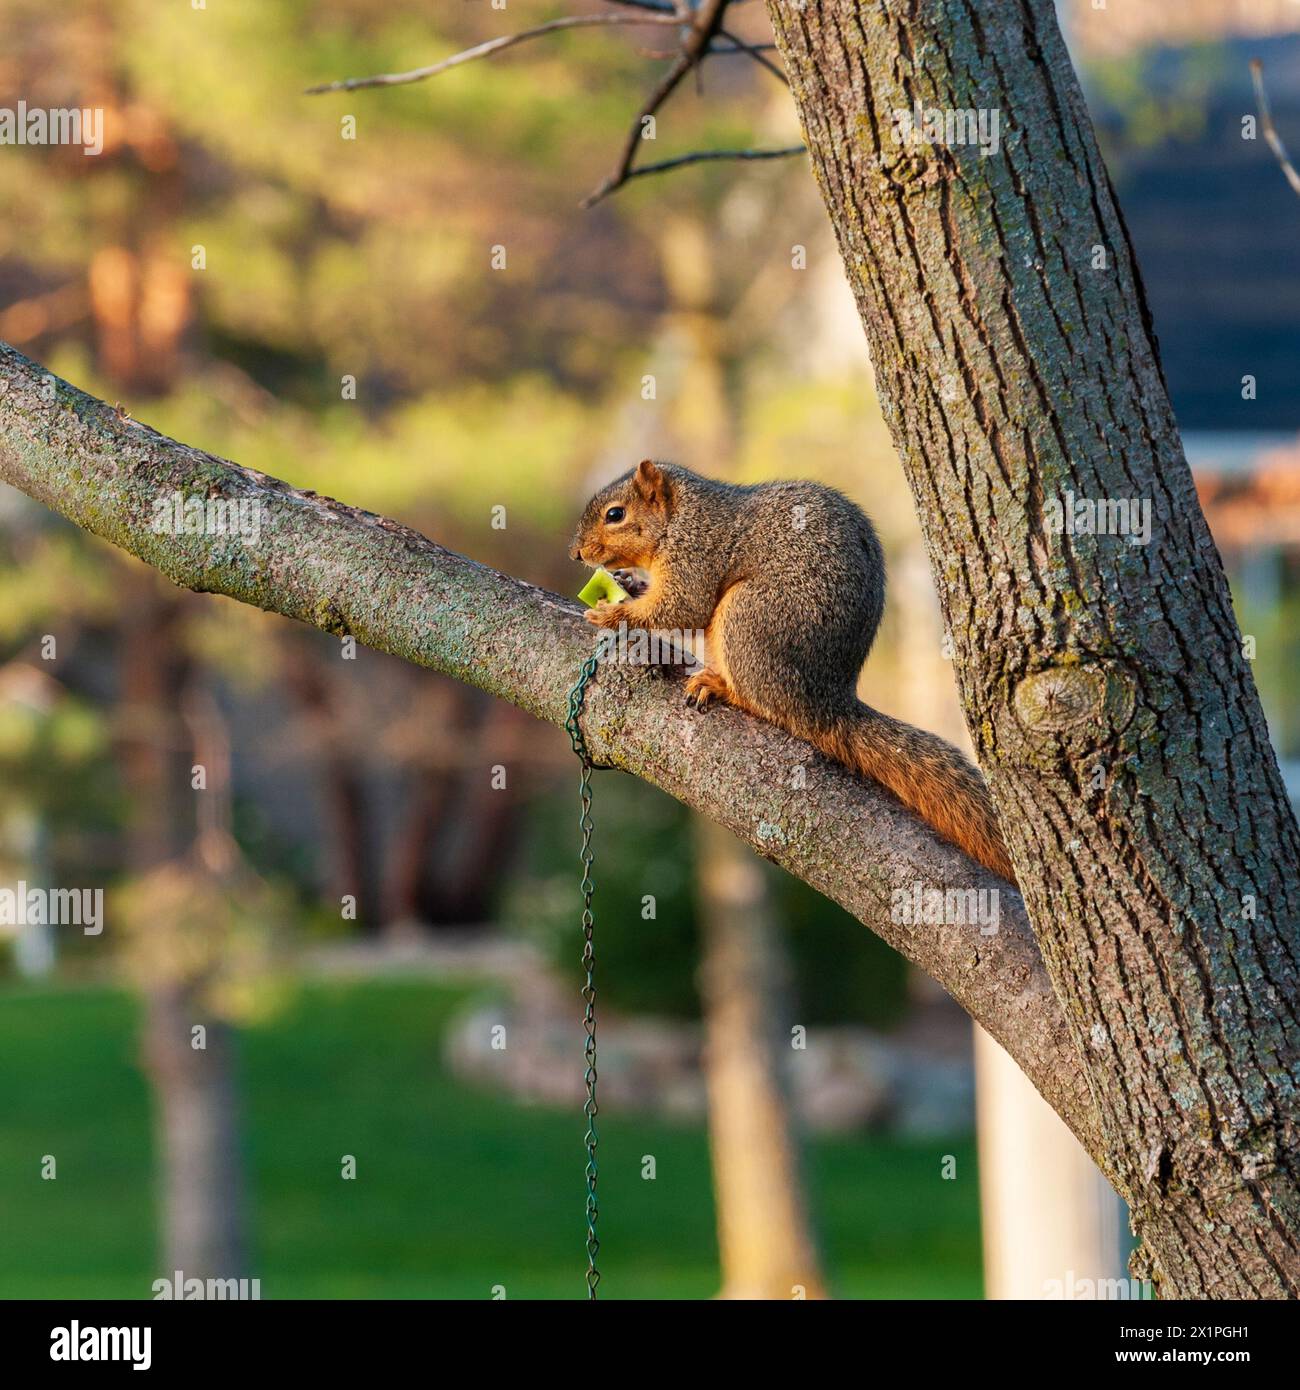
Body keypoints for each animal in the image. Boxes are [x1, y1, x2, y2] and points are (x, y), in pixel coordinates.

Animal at [570, 459, 1014, 882]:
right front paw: (628, 583)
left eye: (615, 514)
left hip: (748, 619)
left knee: (767, 703)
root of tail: (827, 703)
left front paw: (614, 613)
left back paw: (721, 686)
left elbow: (684, 606)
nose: (576, 553)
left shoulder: (695, 554)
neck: (680, 518)